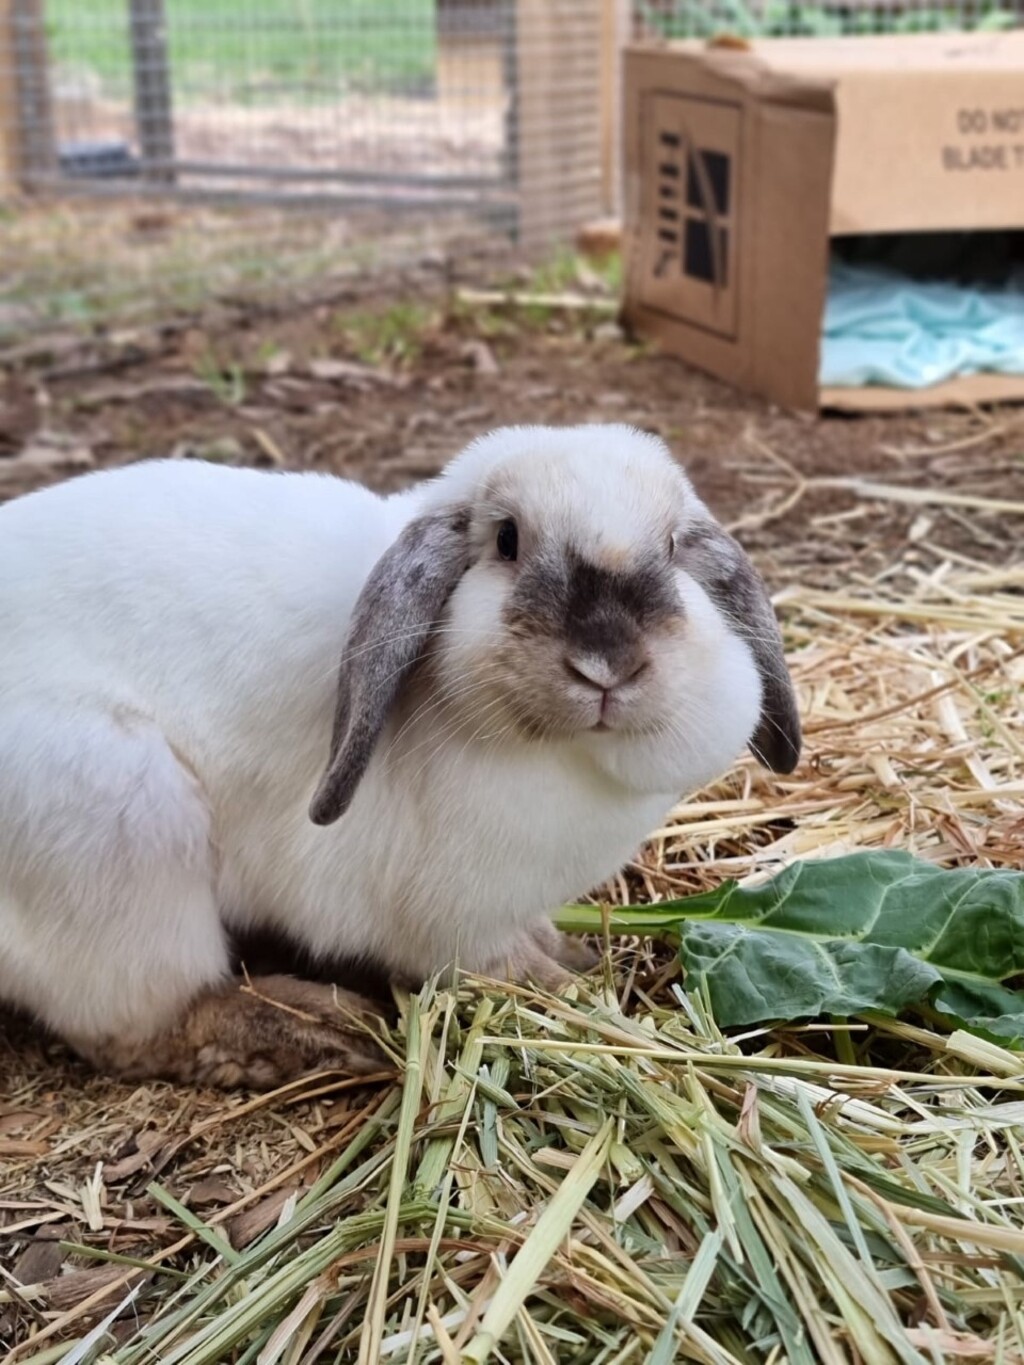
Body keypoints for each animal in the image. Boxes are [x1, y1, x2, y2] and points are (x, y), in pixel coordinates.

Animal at [0, 424, 800, 1088]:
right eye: (506, 540)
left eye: (670, 550)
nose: (605, 663)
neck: (570, 759)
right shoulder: (456, 923)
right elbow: (496, 966)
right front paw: (566, 986)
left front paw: (568, 953)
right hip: (122, 829)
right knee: (137, 1028)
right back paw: (318, 1029)